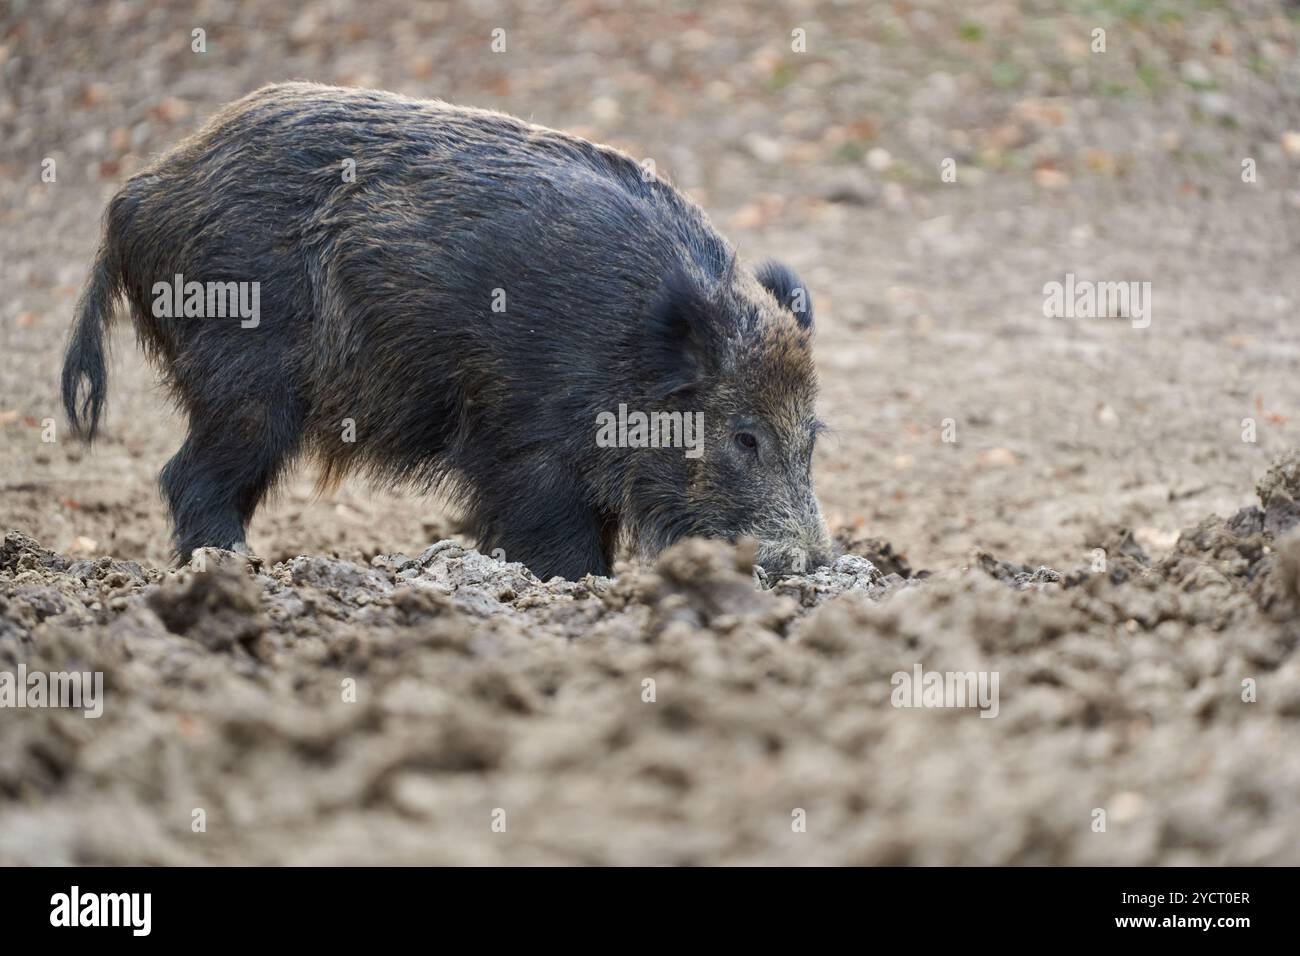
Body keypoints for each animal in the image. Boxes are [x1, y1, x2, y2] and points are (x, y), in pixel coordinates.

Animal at [61, 82, 833, 581]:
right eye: (746, 437)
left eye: (812, 437)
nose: (813, 563)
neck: (627, 350)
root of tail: (136, 197)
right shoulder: (524, 442)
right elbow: (553, 535)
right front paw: (575, 588)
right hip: (243, 380)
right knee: (187, 473)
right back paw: (232, 567)